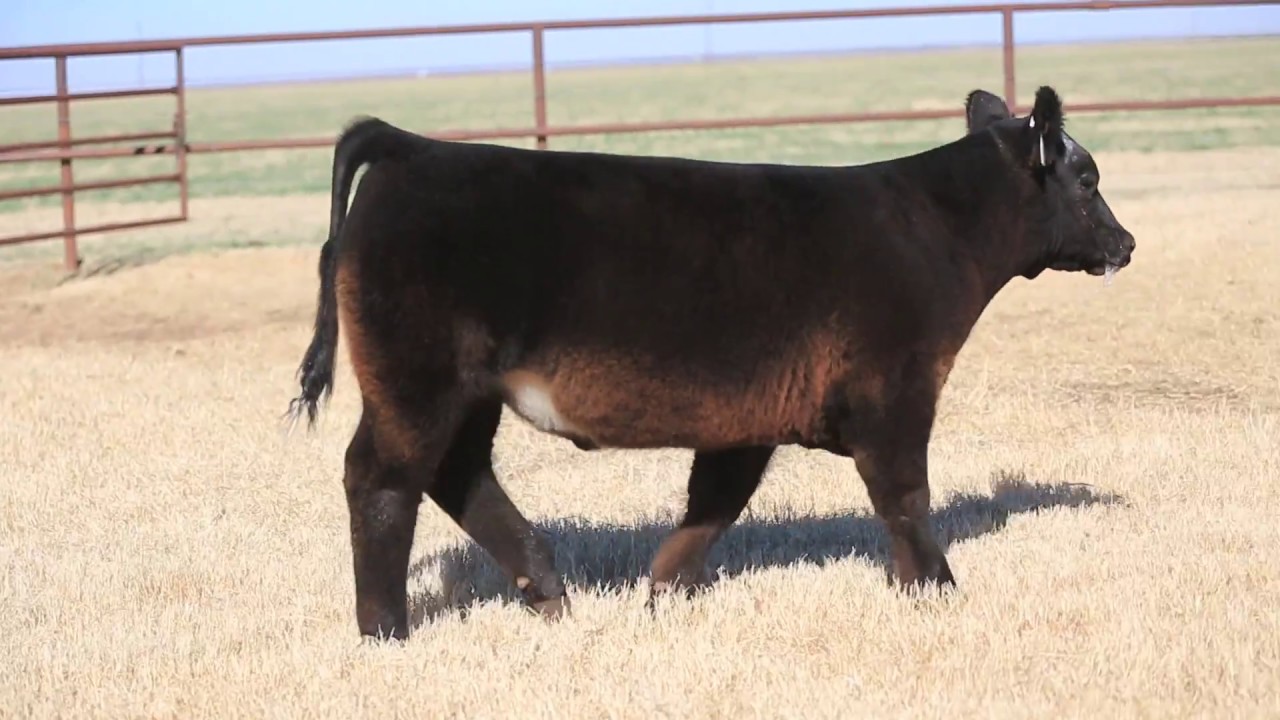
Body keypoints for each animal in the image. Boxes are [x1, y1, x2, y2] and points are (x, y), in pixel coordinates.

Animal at [286, 85, 1135, 641]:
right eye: (1087, 177)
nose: (1125, 243)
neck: (930, 229)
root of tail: (414, 148)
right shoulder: (894, 392)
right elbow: (904, 496)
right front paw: (935, 587)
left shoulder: (750, 416)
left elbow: (714, 503)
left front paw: (664, 591)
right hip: (417, 376)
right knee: (382, 479)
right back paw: (386, 628)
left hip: (464, 391)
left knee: (455, 473)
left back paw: (547, 590)